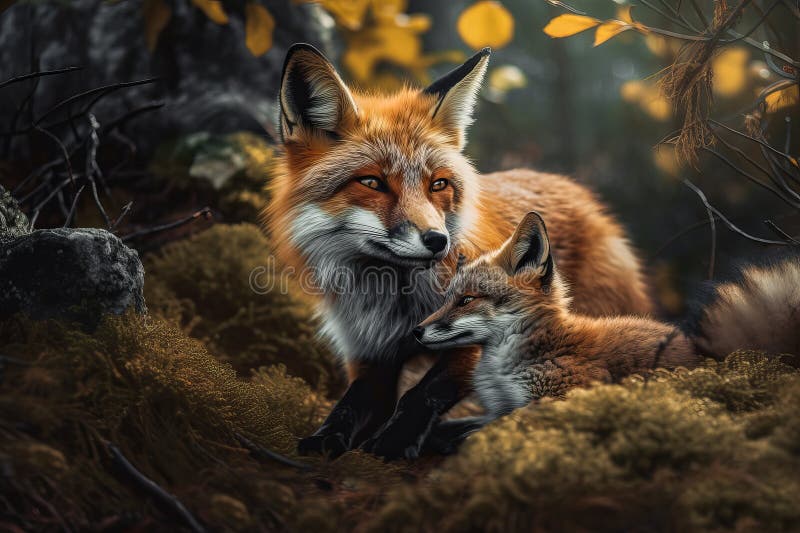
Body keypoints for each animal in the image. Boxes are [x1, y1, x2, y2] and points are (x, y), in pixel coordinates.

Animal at [266, 43, 653, 460]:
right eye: (371, 182)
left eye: (438, 184)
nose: (438, 240)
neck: (392, 299)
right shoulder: (370, 353)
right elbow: (350, 405)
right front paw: (326, 438)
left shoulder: (477, 340)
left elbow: (421, 395)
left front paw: (391, 443)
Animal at [413, 211, 800, 453]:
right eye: (447, 299)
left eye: (466, 300)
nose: (417, 332)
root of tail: (713, 358)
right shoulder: (500, 406)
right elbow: (465, 424)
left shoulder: (568, 394)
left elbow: (488, 429)